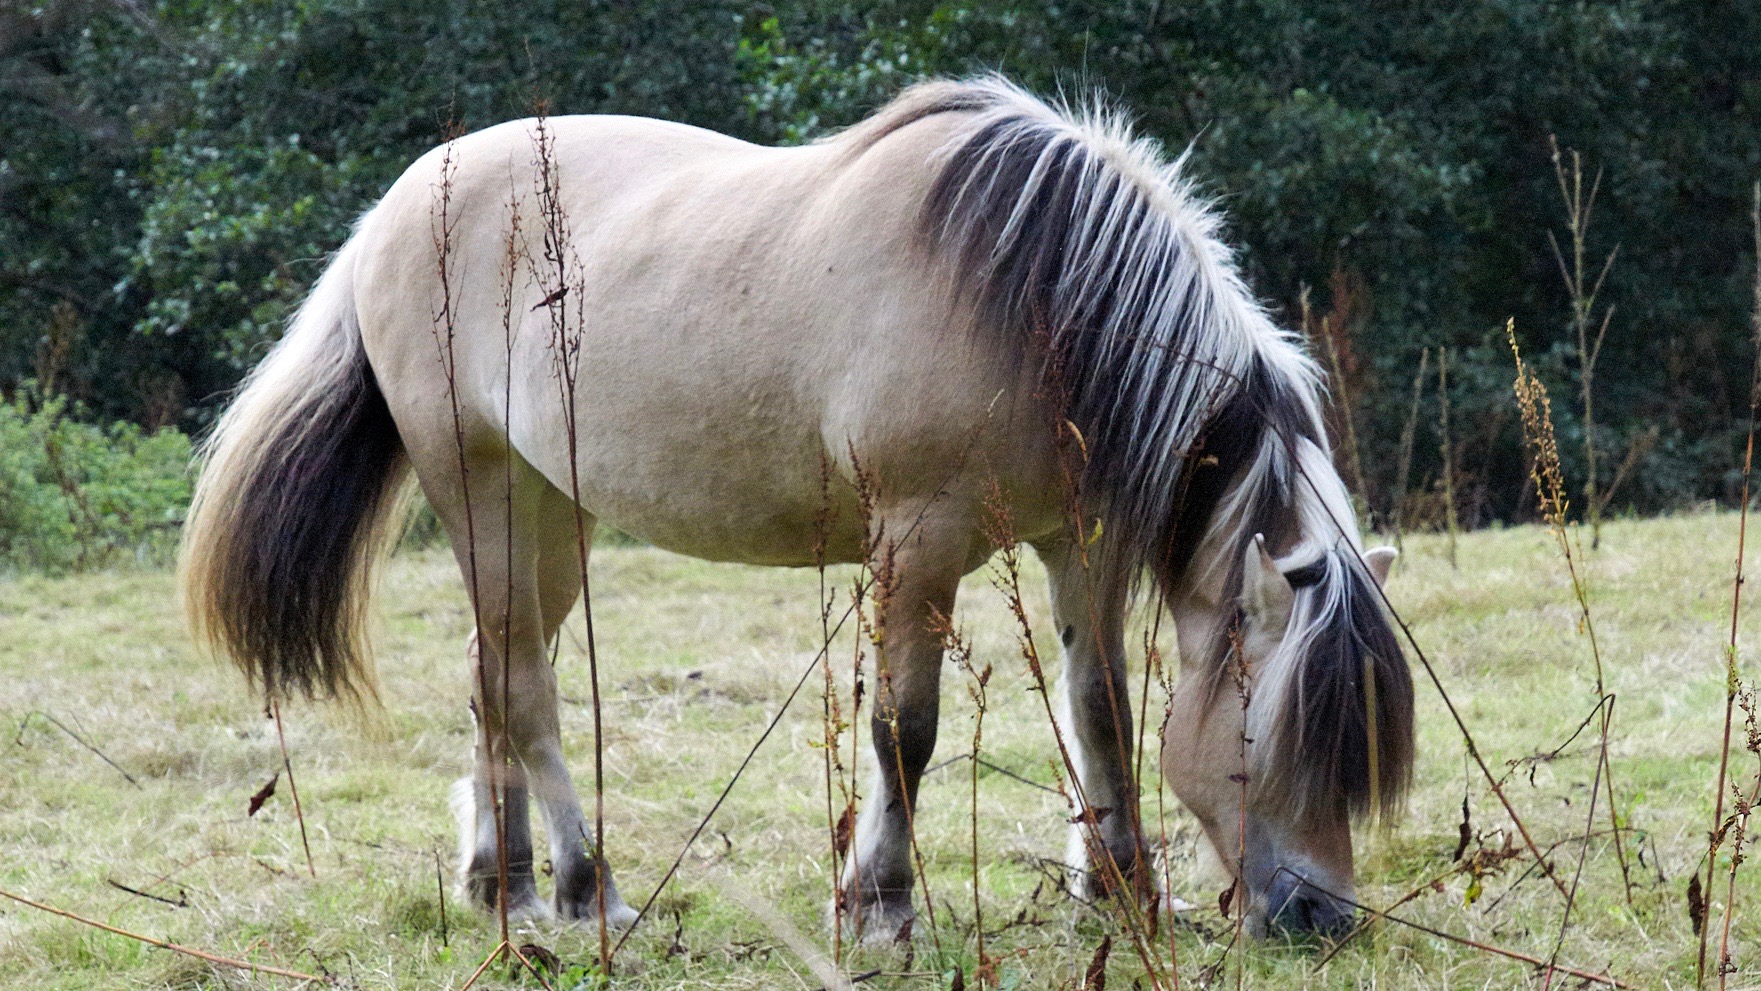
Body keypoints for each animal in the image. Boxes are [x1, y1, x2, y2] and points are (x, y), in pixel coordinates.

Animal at [182, 75, 1415, 936]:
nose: (1323, 920)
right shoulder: (917, 544)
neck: (1038, 291)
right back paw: (588, 887)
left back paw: (506, 886)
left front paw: (1116, 894)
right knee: (523, 687)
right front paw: (881, 905)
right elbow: (904, 731)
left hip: (549, 514)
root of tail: (397, 208)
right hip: (476, 485)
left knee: (494, 669)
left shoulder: (1080, 543)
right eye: (1282, 739)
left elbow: (1100, 709)